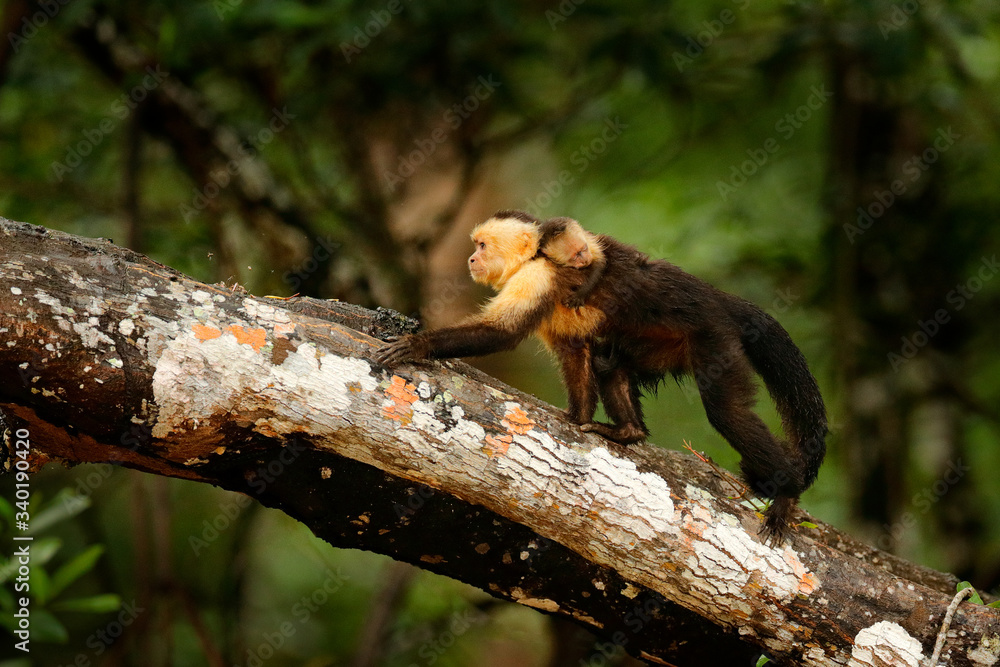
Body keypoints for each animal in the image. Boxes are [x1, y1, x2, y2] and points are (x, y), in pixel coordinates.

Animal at [375, 211, 826, 543]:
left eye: (481, 246)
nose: (471, 259)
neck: (533, 261)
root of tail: (720, 299)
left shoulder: (538, 277)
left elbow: (501, 333)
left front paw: (417, 346)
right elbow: (575, 353)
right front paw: (577, 417)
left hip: (713, 335)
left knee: (726, 411)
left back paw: (786, 494)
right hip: (665, 343)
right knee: (612, 364)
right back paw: (628, 431)